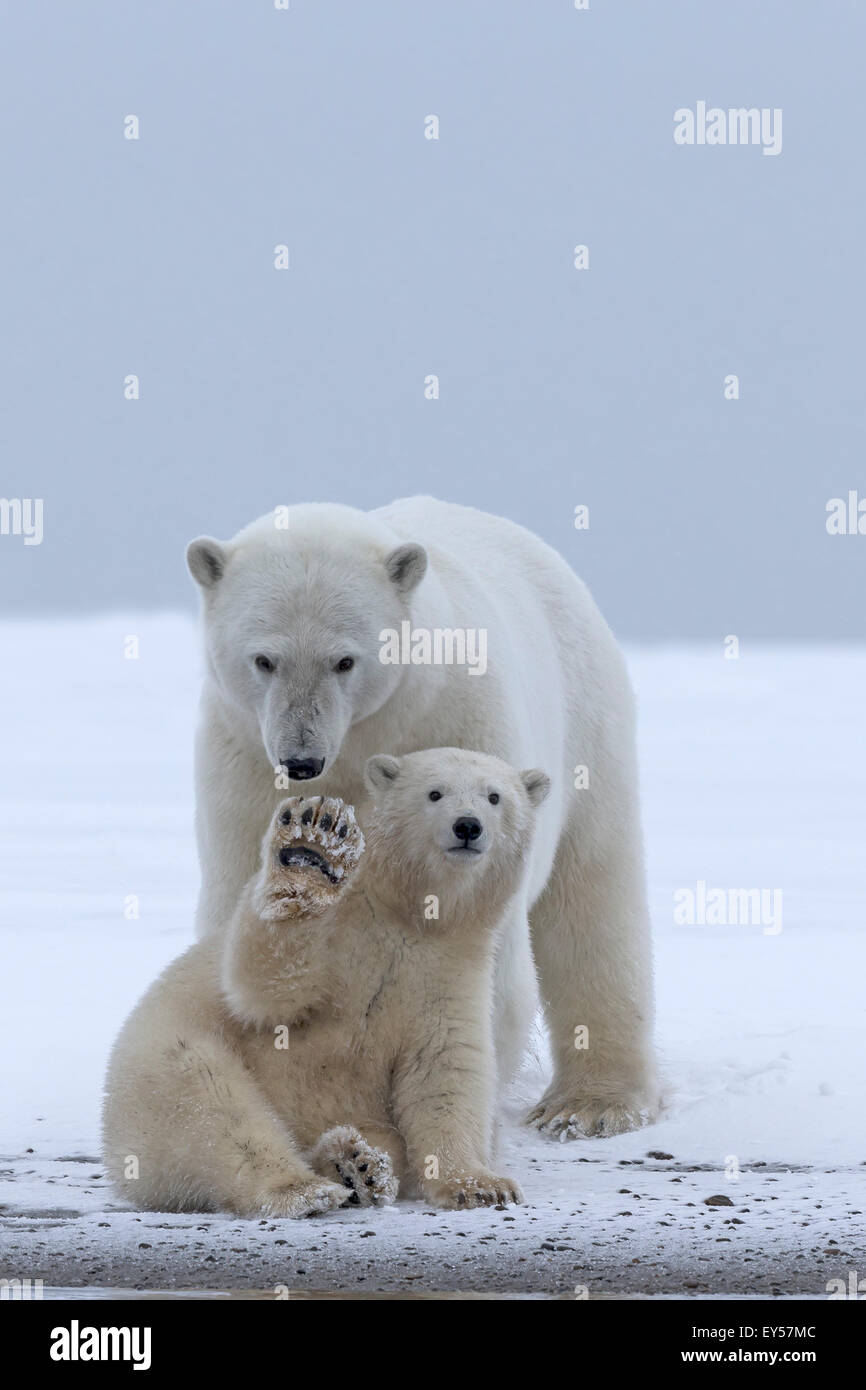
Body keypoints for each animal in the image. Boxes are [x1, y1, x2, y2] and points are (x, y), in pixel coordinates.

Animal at [102, 748, 549, 1216]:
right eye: (435, 793)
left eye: (494, 796)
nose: (468, 826)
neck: (405, 913)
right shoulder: (344, 934)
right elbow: (266, 989)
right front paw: (310, 853)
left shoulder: (449, 970)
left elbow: (445, 1071)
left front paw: (481, 1186)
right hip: (162, 1069)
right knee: (215, 1107)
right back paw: (302, 1187)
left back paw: (356, 1165)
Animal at [185, 496, 660, 1138]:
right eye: (263, 659)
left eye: (344, 660)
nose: (302, 759)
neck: (362, 741)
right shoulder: (243, 765)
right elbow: (246, 905)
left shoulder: (460, 727)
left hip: (587, 722)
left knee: (593, 899)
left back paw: (591, 1104)